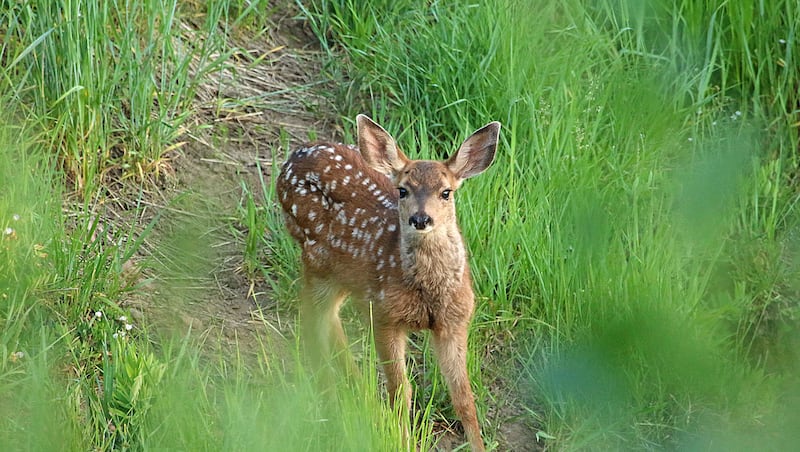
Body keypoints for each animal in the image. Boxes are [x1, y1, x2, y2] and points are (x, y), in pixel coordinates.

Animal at [276, 114, 500, 452]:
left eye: (446, 192)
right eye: (403, 191)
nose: (420, 219)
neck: (428, 292)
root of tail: (294, 156)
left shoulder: (454, 321)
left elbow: (463, 397)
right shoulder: (385, 316)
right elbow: (401, 391)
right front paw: (403, 441)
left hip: (344, 276)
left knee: (329, 317)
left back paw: (359, 393)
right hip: (315, 257)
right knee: (313, 320)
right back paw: (332, 394)